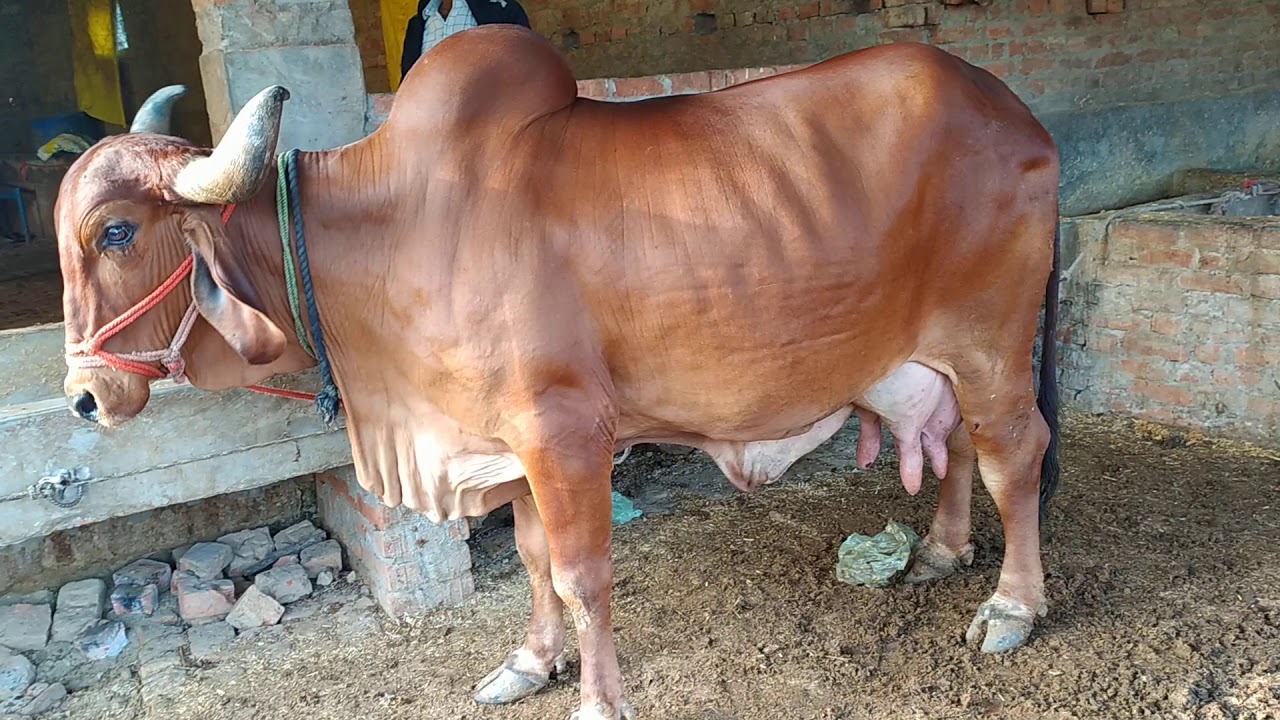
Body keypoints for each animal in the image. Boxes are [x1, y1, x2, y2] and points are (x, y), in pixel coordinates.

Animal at [56, 26, 1060, 720]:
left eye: (117, 232)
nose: (84, 397)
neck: (394, 232)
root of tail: (1015, 111)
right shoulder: (507, 445)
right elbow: (537, 563)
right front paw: (530, 665)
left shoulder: (564, 432)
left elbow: (581, 576)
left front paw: (597, 700)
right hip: (933, 358)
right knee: (956, 442)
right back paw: (940, 551)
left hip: (991, 342)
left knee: (1013, 455)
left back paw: (1012, 606)